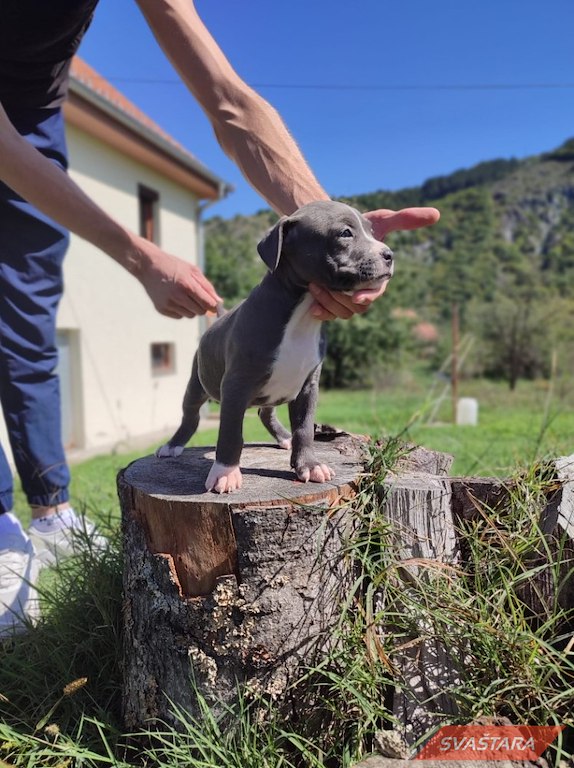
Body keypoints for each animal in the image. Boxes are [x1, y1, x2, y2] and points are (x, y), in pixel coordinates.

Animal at [155, 200, 394, 492]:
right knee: (190, 415)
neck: (301, 313)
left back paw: (284, 437)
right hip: (197, 383)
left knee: (265, 413)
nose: (389, 255)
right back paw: (172, 446)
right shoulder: (236, 385)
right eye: (345, 233)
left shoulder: (308, 386)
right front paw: (225, 473)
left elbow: (305, 429)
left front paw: (309, 466)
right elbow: (231, 433)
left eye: (371, 231)